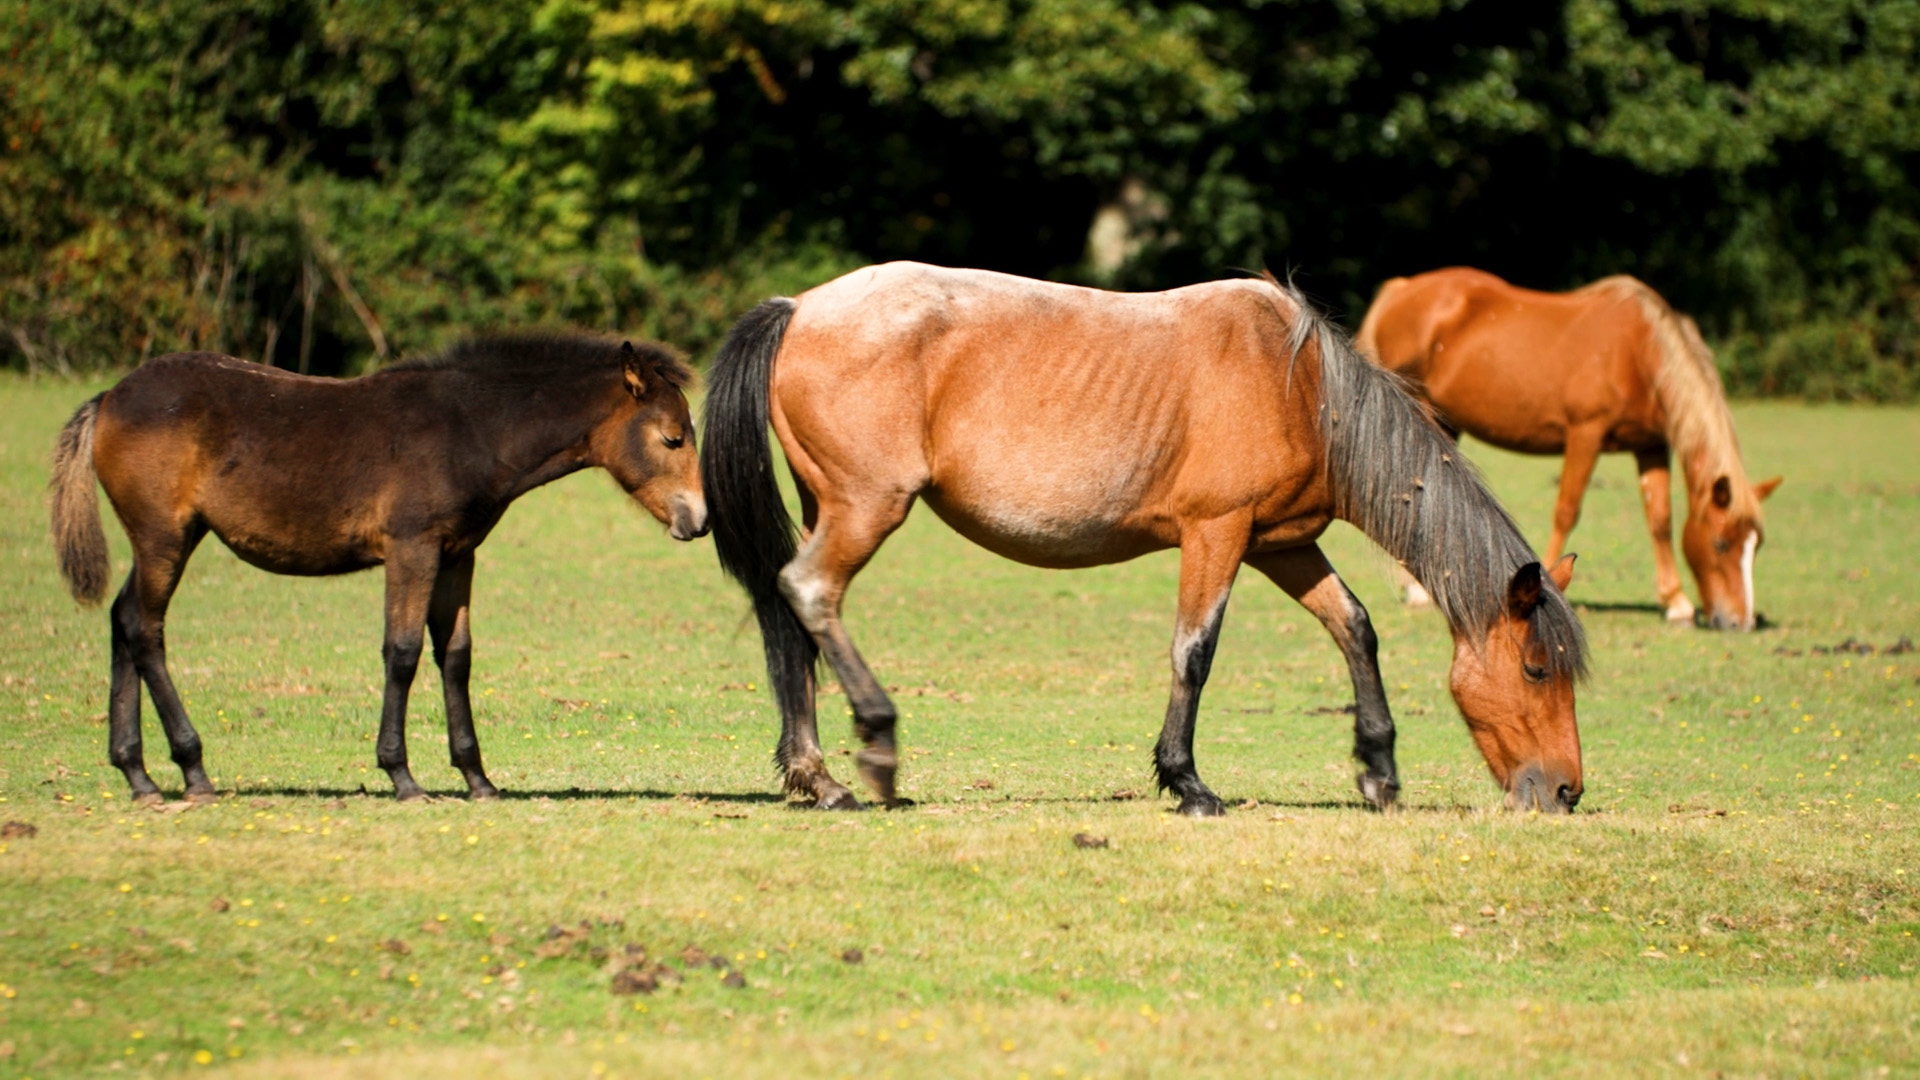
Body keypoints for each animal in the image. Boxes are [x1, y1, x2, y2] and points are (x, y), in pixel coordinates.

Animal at [49, 333, 705, 805]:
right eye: (672, 438)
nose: (699, 521)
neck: (472, 428)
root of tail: (108, 398)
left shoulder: (457, 553)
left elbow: (455, 657)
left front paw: (478, 779)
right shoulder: (411, 547)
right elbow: (403, 651)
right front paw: (402, 776)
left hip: (169, 538)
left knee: (122, 620)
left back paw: (137, 774)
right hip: (163, 536)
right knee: (144, 628)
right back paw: (193, 769)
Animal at [702, 262, 1588, 816]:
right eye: (1537, 670)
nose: (1566, 792)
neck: (1300, 385)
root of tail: (799, 307)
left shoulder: (1281, 544)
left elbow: (1355, 628)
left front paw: (1379, 770)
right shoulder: (1217, 534)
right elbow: (1194, 651)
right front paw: (1187, 782)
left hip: (828, 506)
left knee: (794, 611)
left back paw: (816, 776)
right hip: (866, 508)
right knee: (811, 591)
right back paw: (874, 747)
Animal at [1356, 267, 1782, 630]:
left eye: (1757, 546)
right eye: (1721, 544)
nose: (1741, 622)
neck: (1639, 352)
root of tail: (1401, 288)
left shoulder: (1651, 445)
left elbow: (1659, 519)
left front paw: (1676, 603)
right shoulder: (1585, 435)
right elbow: (1567, 510)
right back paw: (1416, 591)